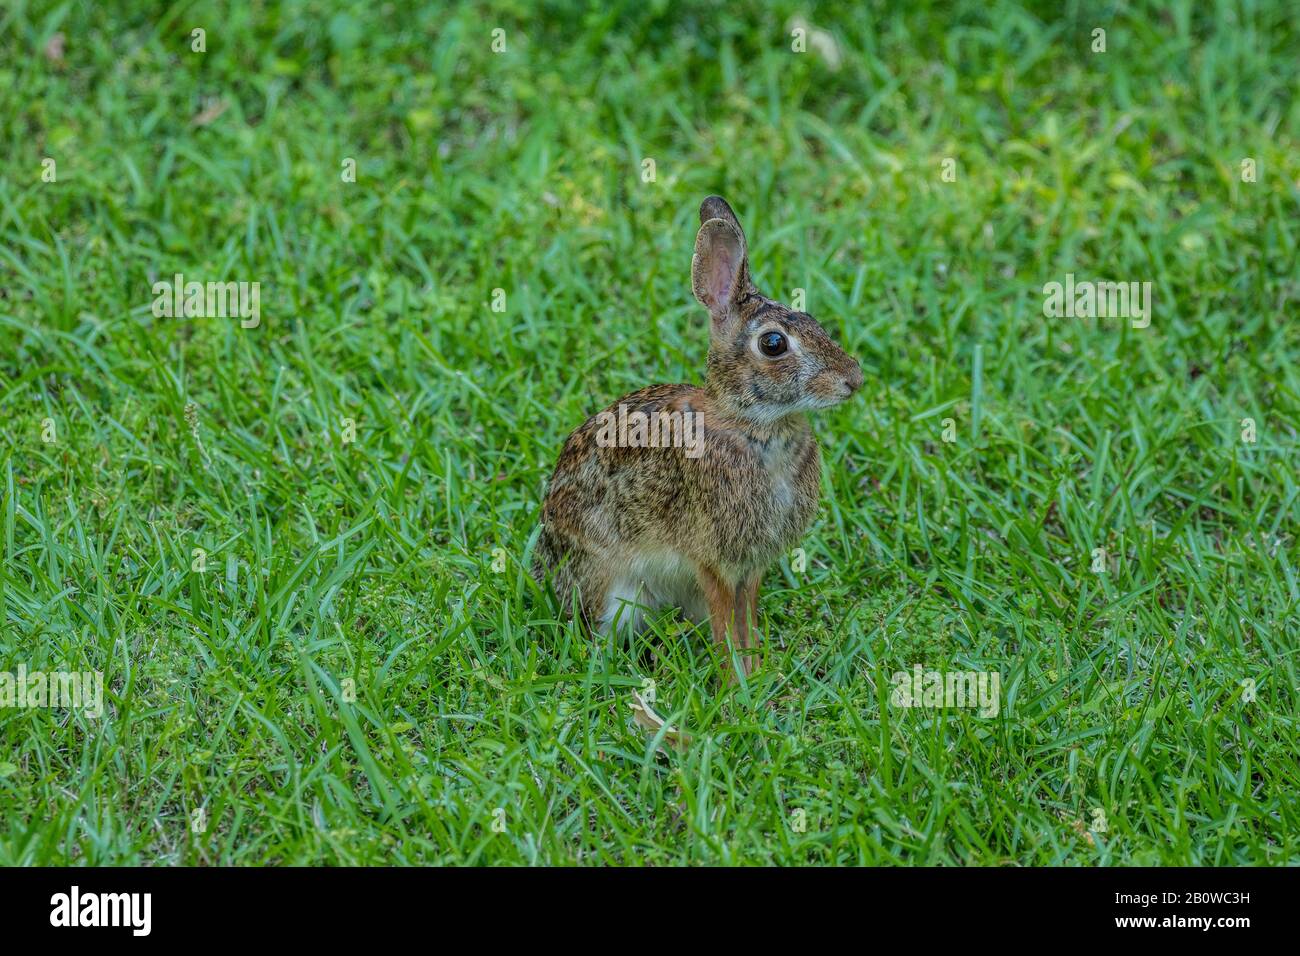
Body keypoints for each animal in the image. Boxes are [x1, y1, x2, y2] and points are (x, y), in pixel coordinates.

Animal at [533, 196, 863, 679]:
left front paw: (757, 670)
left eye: (813, 321)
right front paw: (736, 682)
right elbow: (726, 622)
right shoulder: (712, 559)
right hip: (614, 591)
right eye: (774, 344)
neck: (753, 426)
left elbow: (746, 617)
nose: (853, 379)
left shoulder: (750, 565)